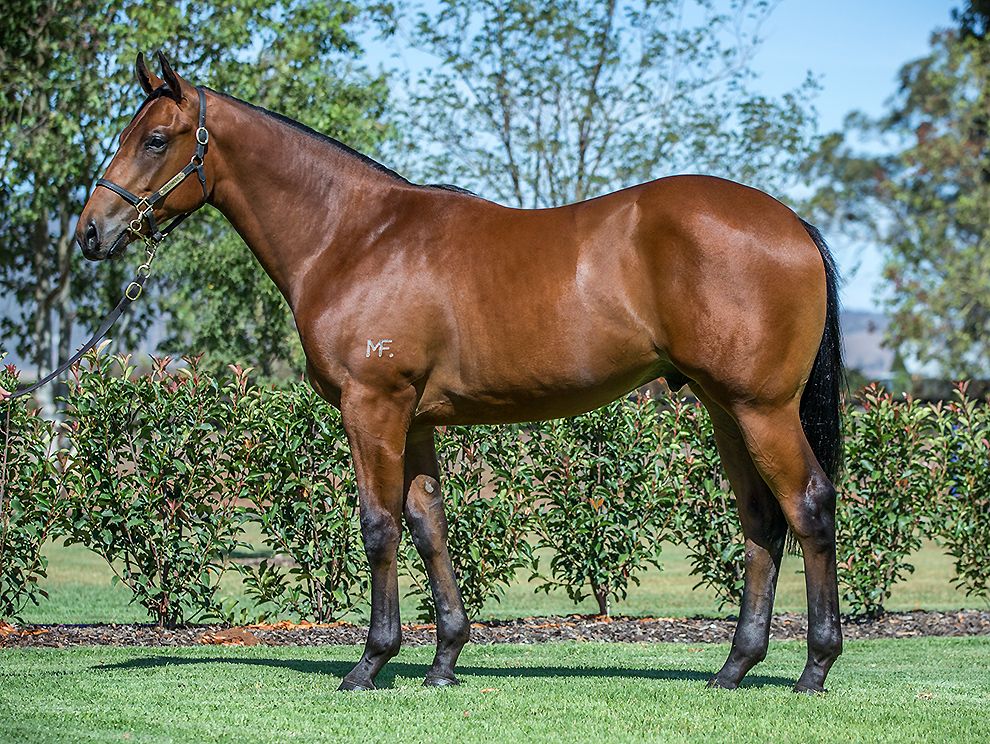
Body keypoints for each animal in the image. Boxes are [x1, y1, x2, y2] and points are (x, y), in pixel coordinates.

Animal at [76, 51, 844, 694]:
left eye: (155, 139)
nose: (91, 231)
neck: (354, 237)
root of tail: (791, 223)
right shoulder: (414, 419)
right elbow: (428, 525)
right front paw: (443, 659)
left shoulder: (373, 406)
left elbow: (379, 525)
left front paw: (370, 662)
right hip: (724, 408)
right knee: (760, 520)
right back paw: (734, 667)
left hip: (762, 409)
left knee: (807, 506)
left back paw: (814, 668)